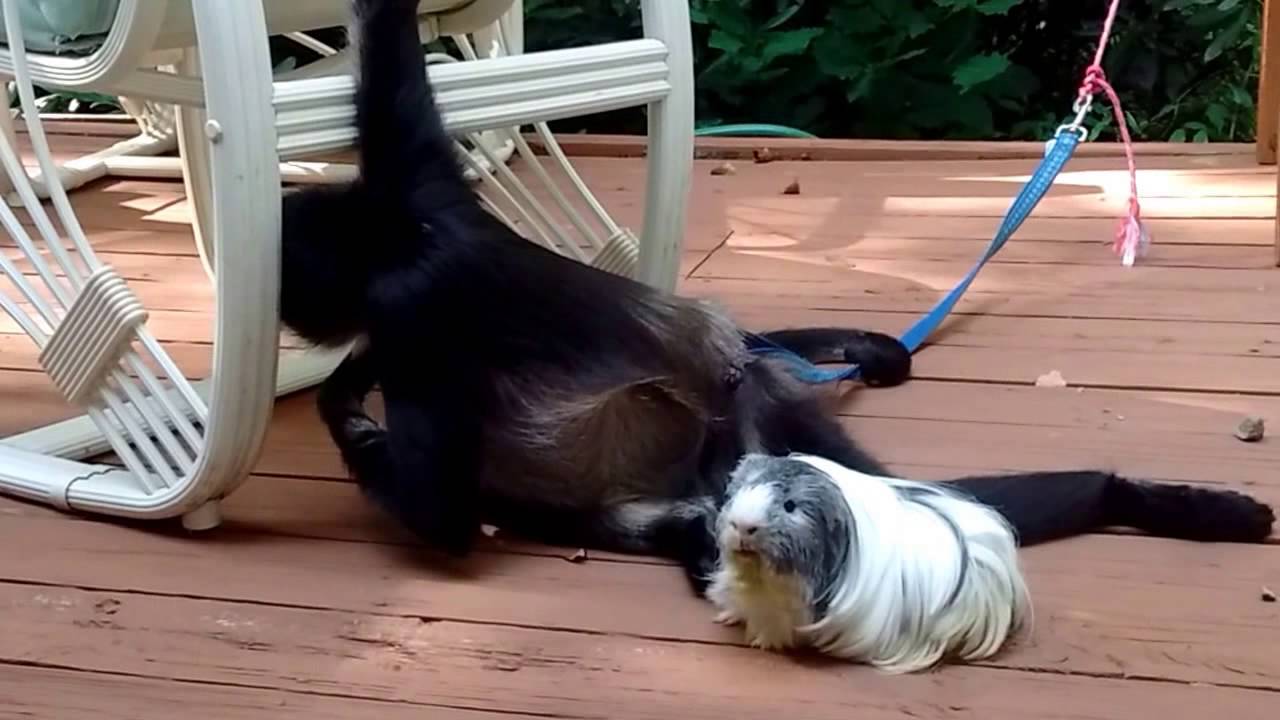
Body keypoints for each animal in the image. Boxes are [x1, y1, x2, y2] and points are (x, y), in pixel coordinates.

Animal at [276, 0, 1275, 596]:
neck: (404, 236)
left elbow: (442, 518)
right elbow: (390, 43)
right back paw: (1136, 498)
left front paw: (343, 402)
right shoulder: (420, 173)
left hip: (746, 433)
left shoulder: (417, 312)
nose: (294, 319)